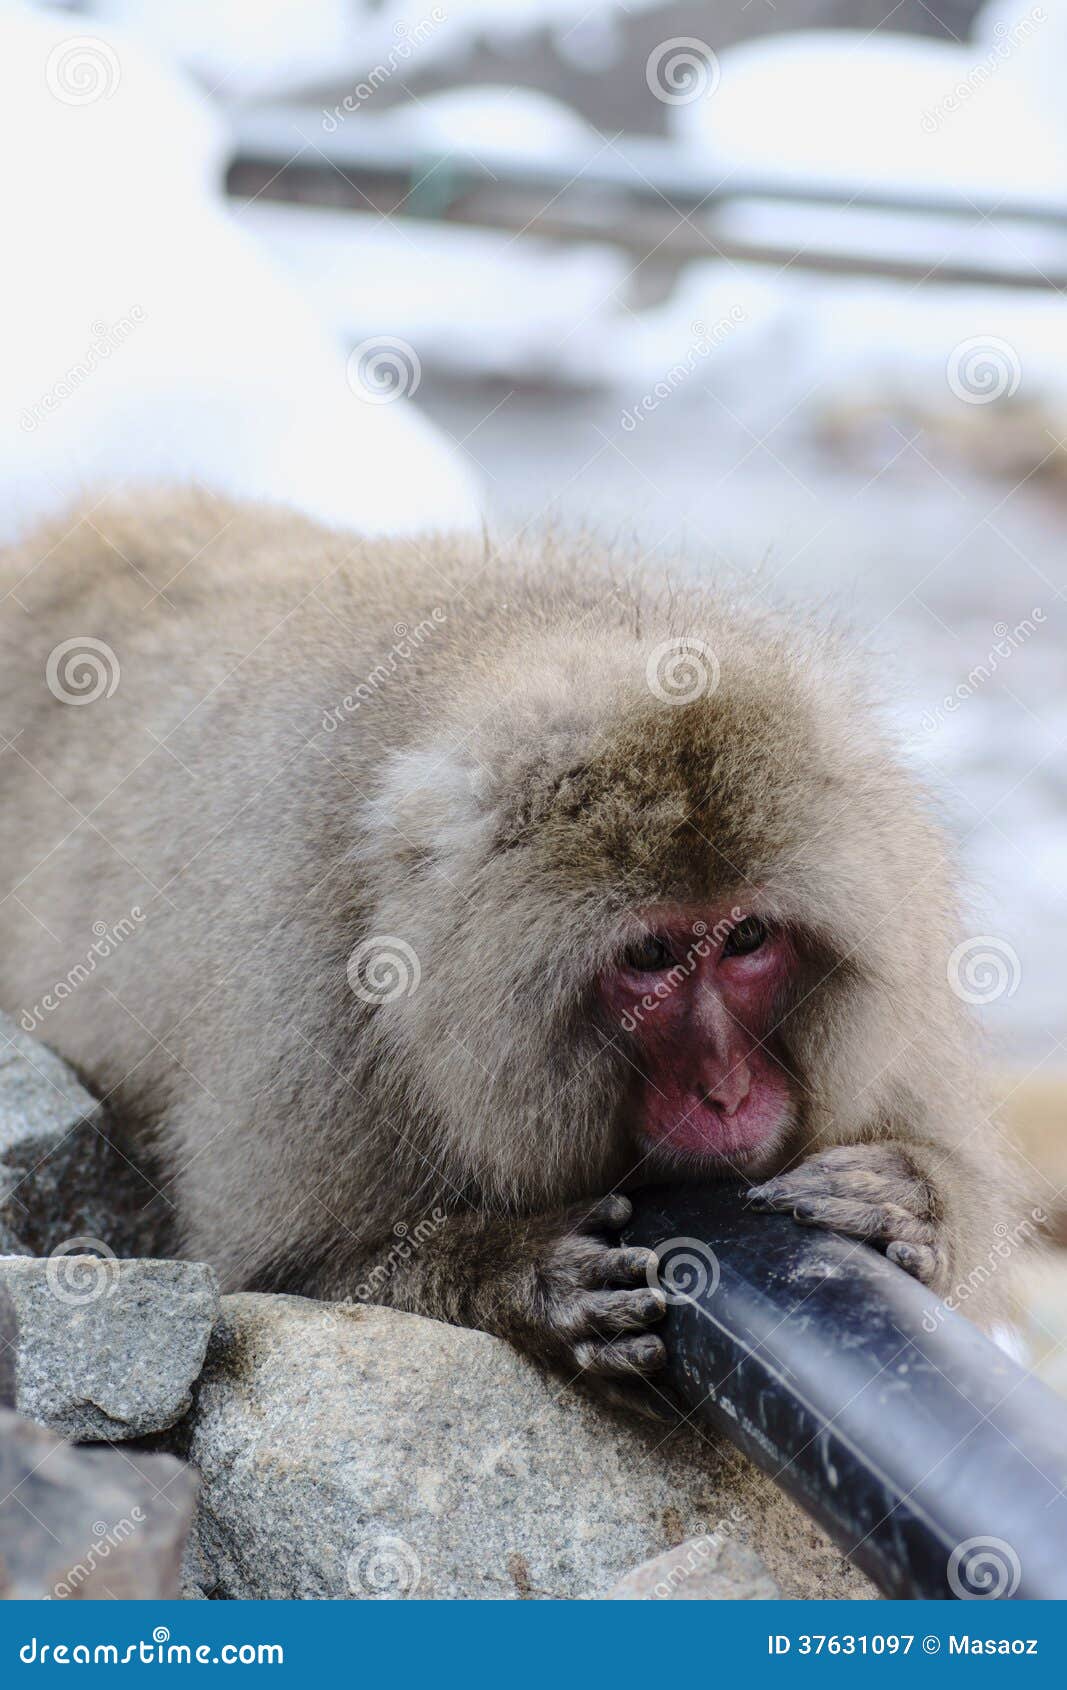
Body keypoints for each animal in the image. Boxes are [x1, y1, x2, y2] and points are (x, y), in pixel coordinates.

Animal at [0, 489, 1028, 1410]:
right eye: (649, 956)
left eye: (744, 938)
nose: (726, 1090)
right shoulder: (318, 1005)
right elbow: (282, 1272)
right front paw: (517, 1275)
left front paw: (912, 1195)